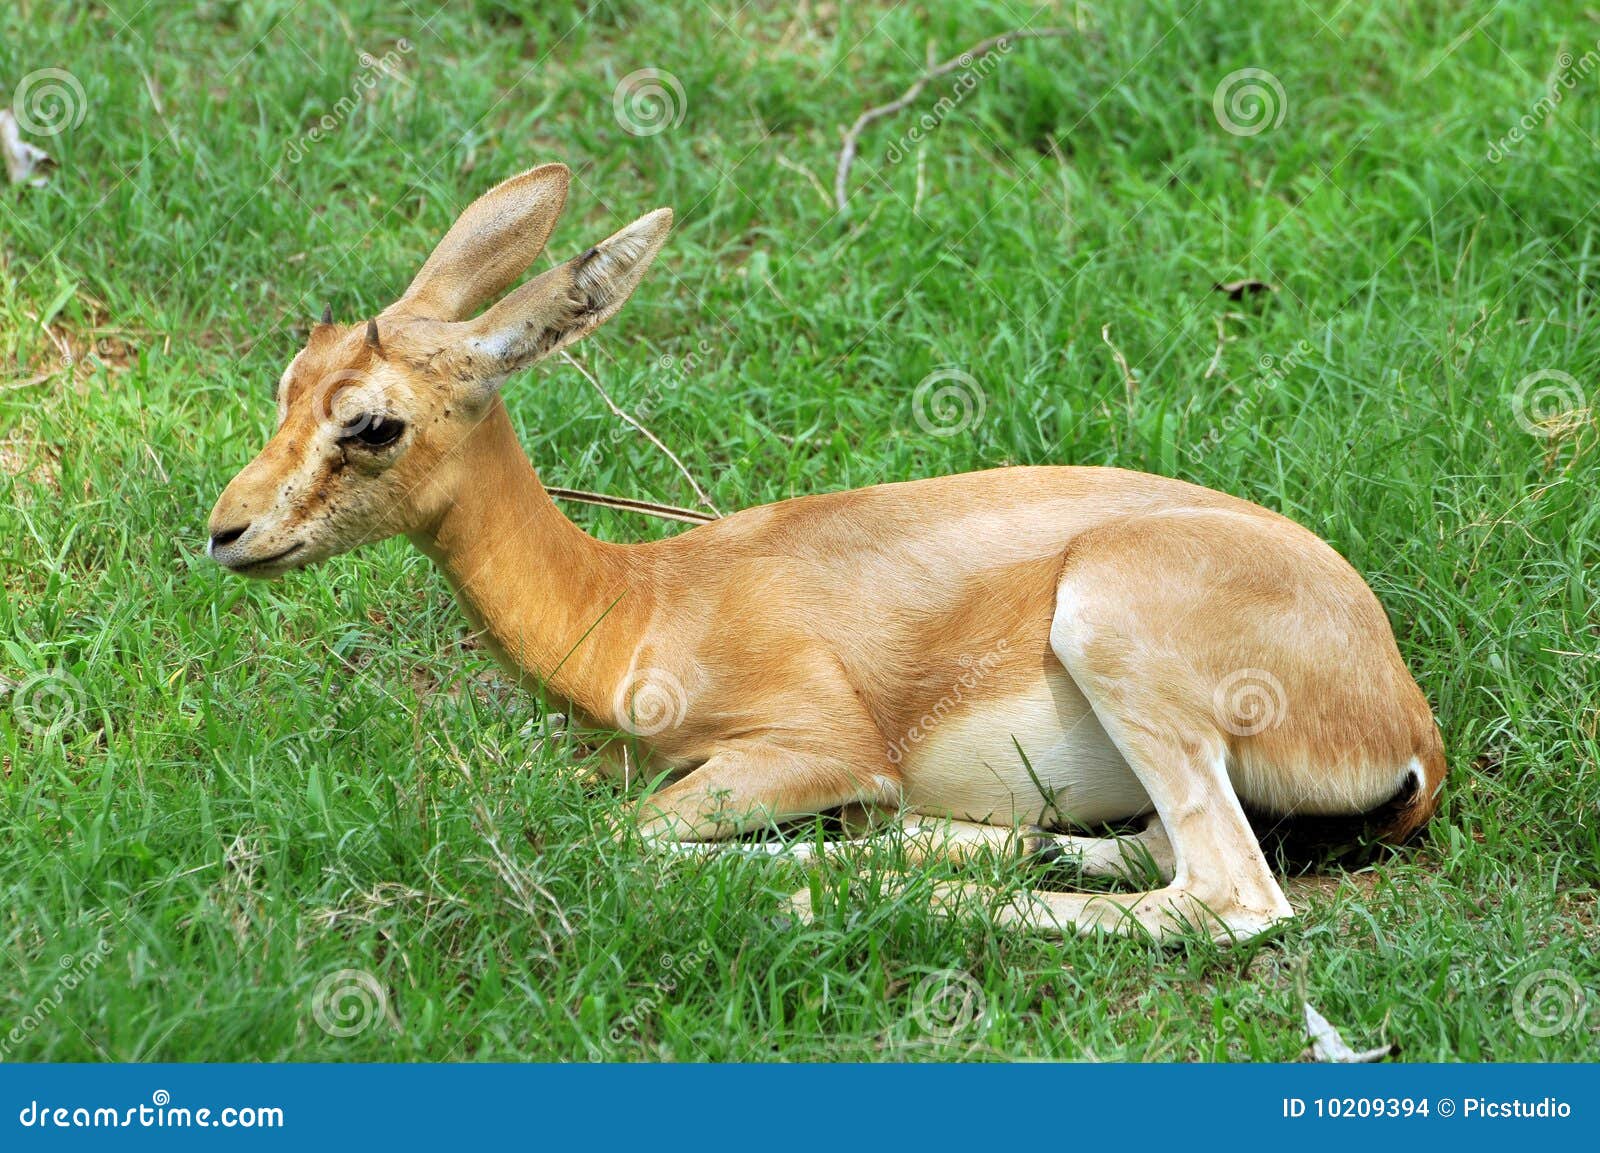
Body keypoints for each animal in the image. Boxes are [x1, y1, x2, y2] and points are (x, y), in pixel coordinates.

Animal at [206, 163, 1447, 943]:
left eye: (372, 422)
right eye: (291, 379)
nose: (228, 531)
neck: (644, 604)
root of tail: (1407, 720)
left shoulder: (810, 746)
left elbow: (621, 842)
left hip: (1112, 635)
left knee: (1225, 899)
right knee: (1145, 856)